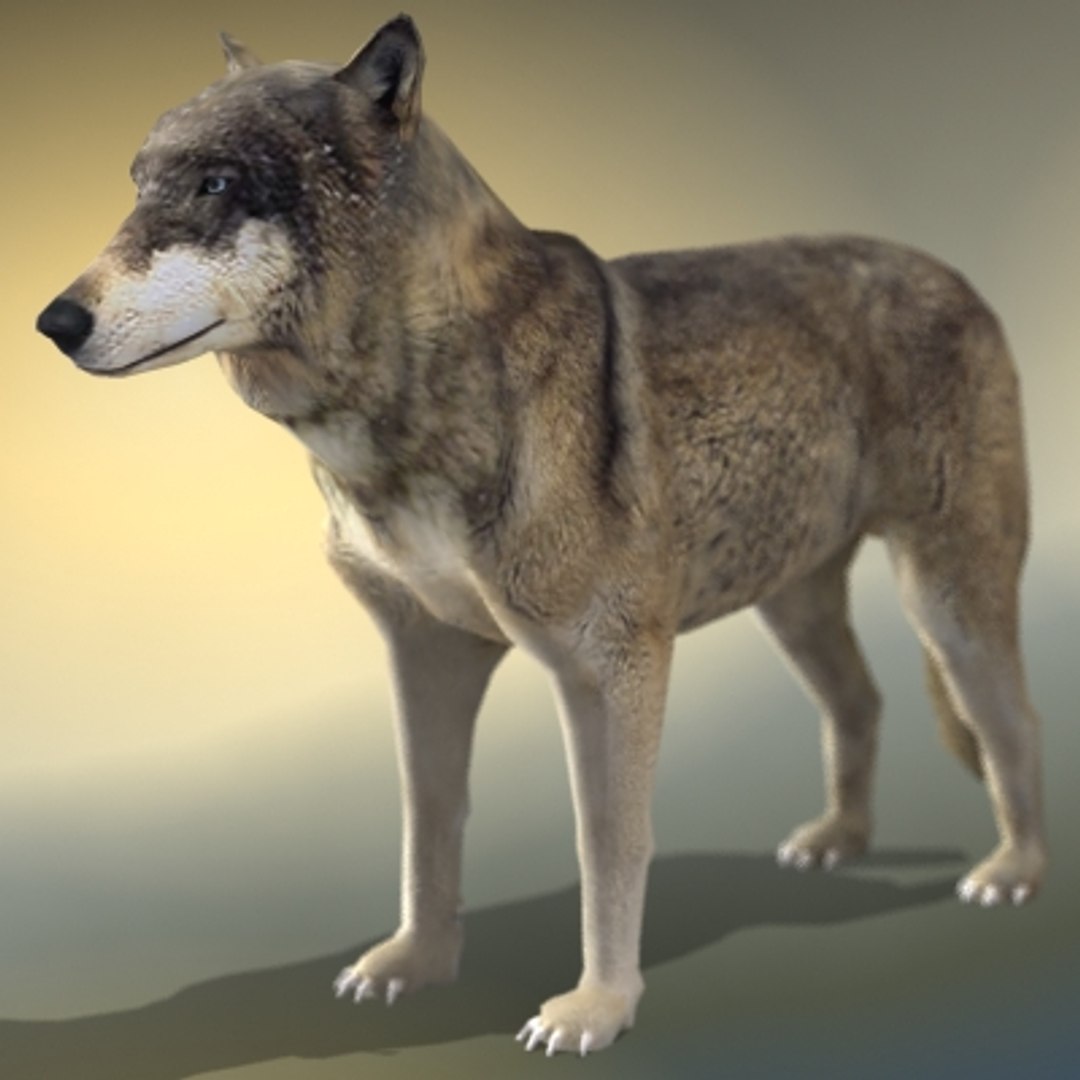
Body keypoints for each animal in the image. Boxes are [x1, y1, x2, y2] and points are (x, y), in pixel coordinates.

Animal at [36, 14, 1045, 1057]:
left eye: (215, 185)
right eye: (138, 185)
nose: (52, 322)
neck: (413, 411)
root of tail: (952, 273)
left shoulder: (609, 672)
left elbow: (609, 844)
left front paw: (596, 1009)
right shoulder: (426, 655)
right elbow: (429, 824)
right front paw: (417, 966)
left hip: (947, 602)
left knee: (1014, 724)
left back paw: (1013, 873)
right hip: (795, 605)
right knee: (862, 702)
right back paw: (839, 843)